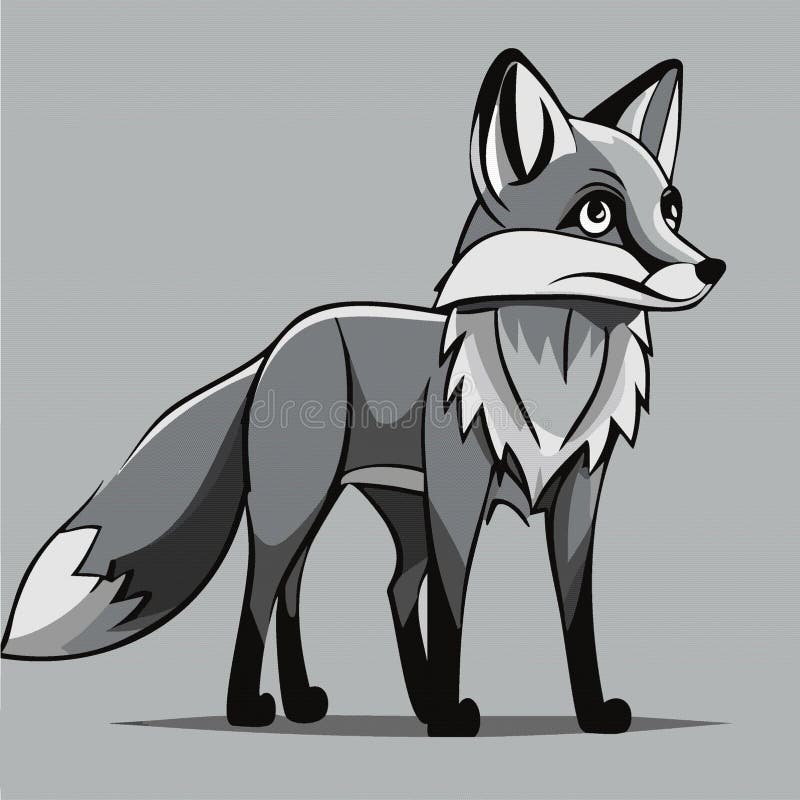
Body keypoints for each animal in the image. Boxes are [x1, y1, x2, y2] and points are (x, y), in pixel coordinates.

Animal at [2, 49, 725, 736]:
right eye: (598, 213)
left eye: (672, 208)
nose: (711, 267)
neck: (555, 380)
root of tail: (282, 342)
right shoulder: (458, 501)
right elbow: (452, 613)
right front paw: (451, 719)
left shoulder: (578, 498)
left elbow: (578, 621)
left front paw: (590, 714)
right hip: (297, 505)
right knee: (264, 591)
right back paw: (254, 708)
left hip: (383, 513)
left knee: (363, 588)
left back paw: (328, 701)